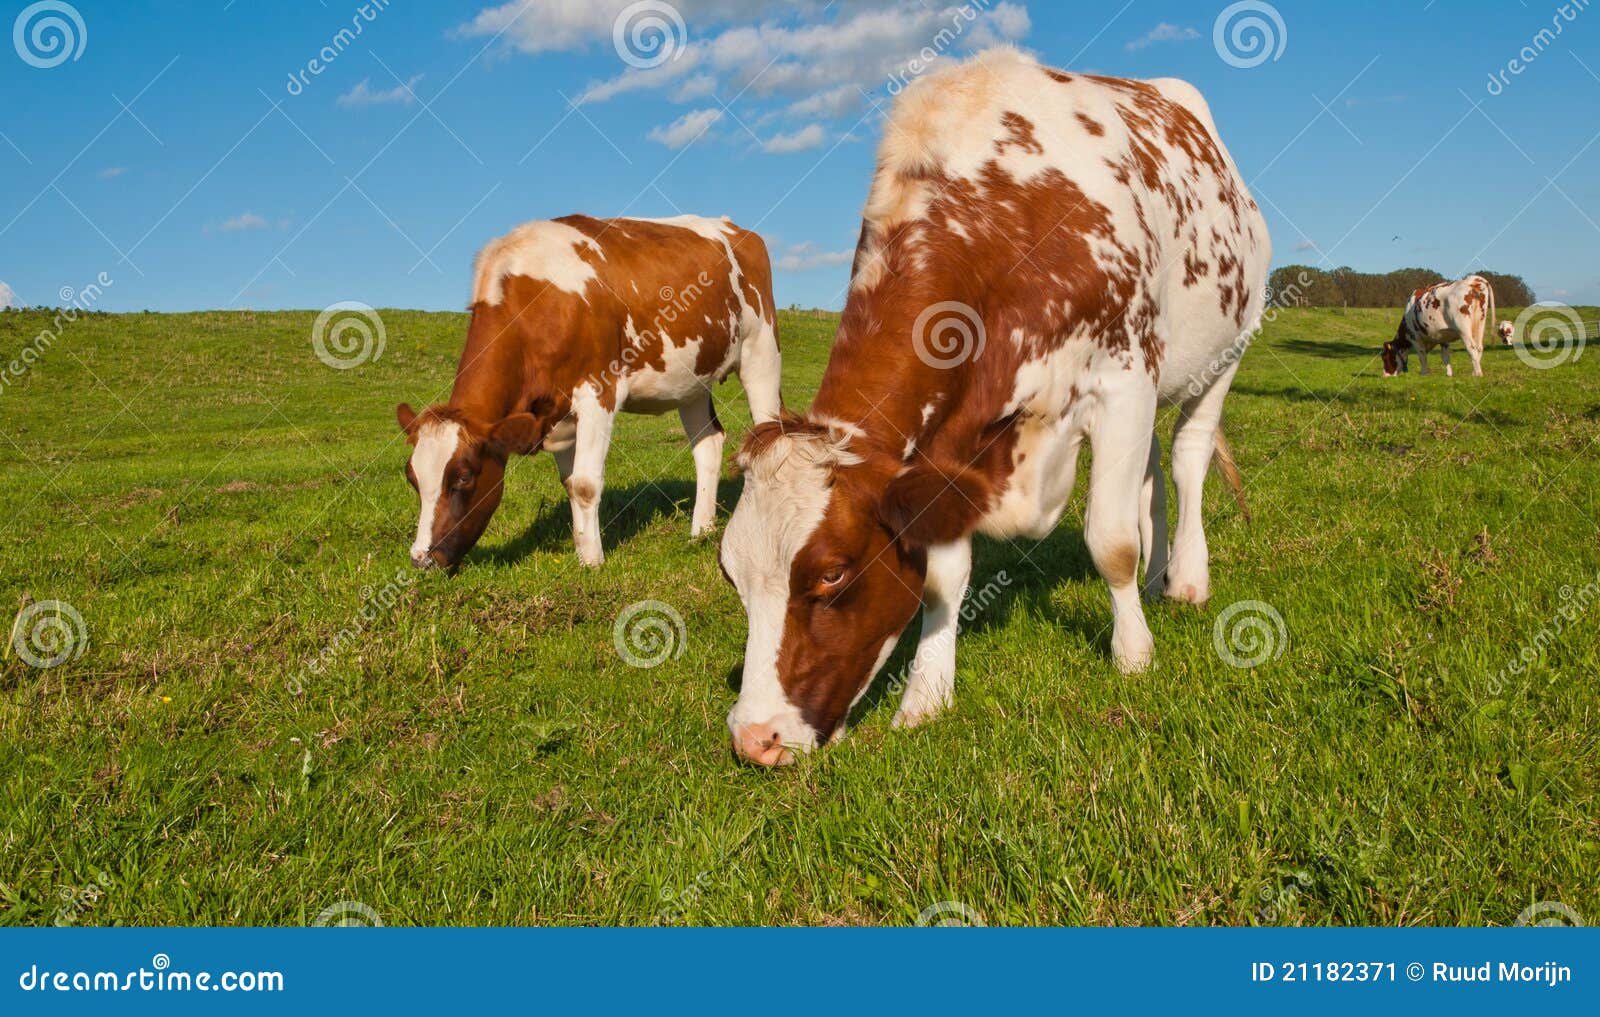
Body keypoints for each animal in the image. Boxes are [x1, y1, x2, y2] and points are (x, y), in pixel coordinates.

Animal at [398, 214, 782, 570]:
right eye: (411, 477)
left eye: (464, 477)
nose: (421, 560)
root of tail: (734, 227)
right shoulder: (555, 412)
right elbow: (570, 483)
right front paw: (583, 550)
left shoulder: (598, 391)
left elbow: (585, 483)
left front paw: (593, 562)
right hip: (692, 377)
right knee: (707, 445)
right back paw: (700, 530)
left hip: (761, 351)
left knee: (769, 437)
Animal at [717, 48, 1271, 765]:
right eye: (731, 575)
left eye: (834, 574)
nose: (756, 738)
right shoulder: (943, 445)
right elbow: (941, 577)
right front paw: (926, 695)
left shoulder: (1122, 380)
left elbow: (1110, 539)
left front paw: (1133, 654)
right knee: (1149, 470)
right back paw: (1154, 582)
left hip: (1223, 352)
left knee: (1187, 455)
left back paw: (1185, 582)